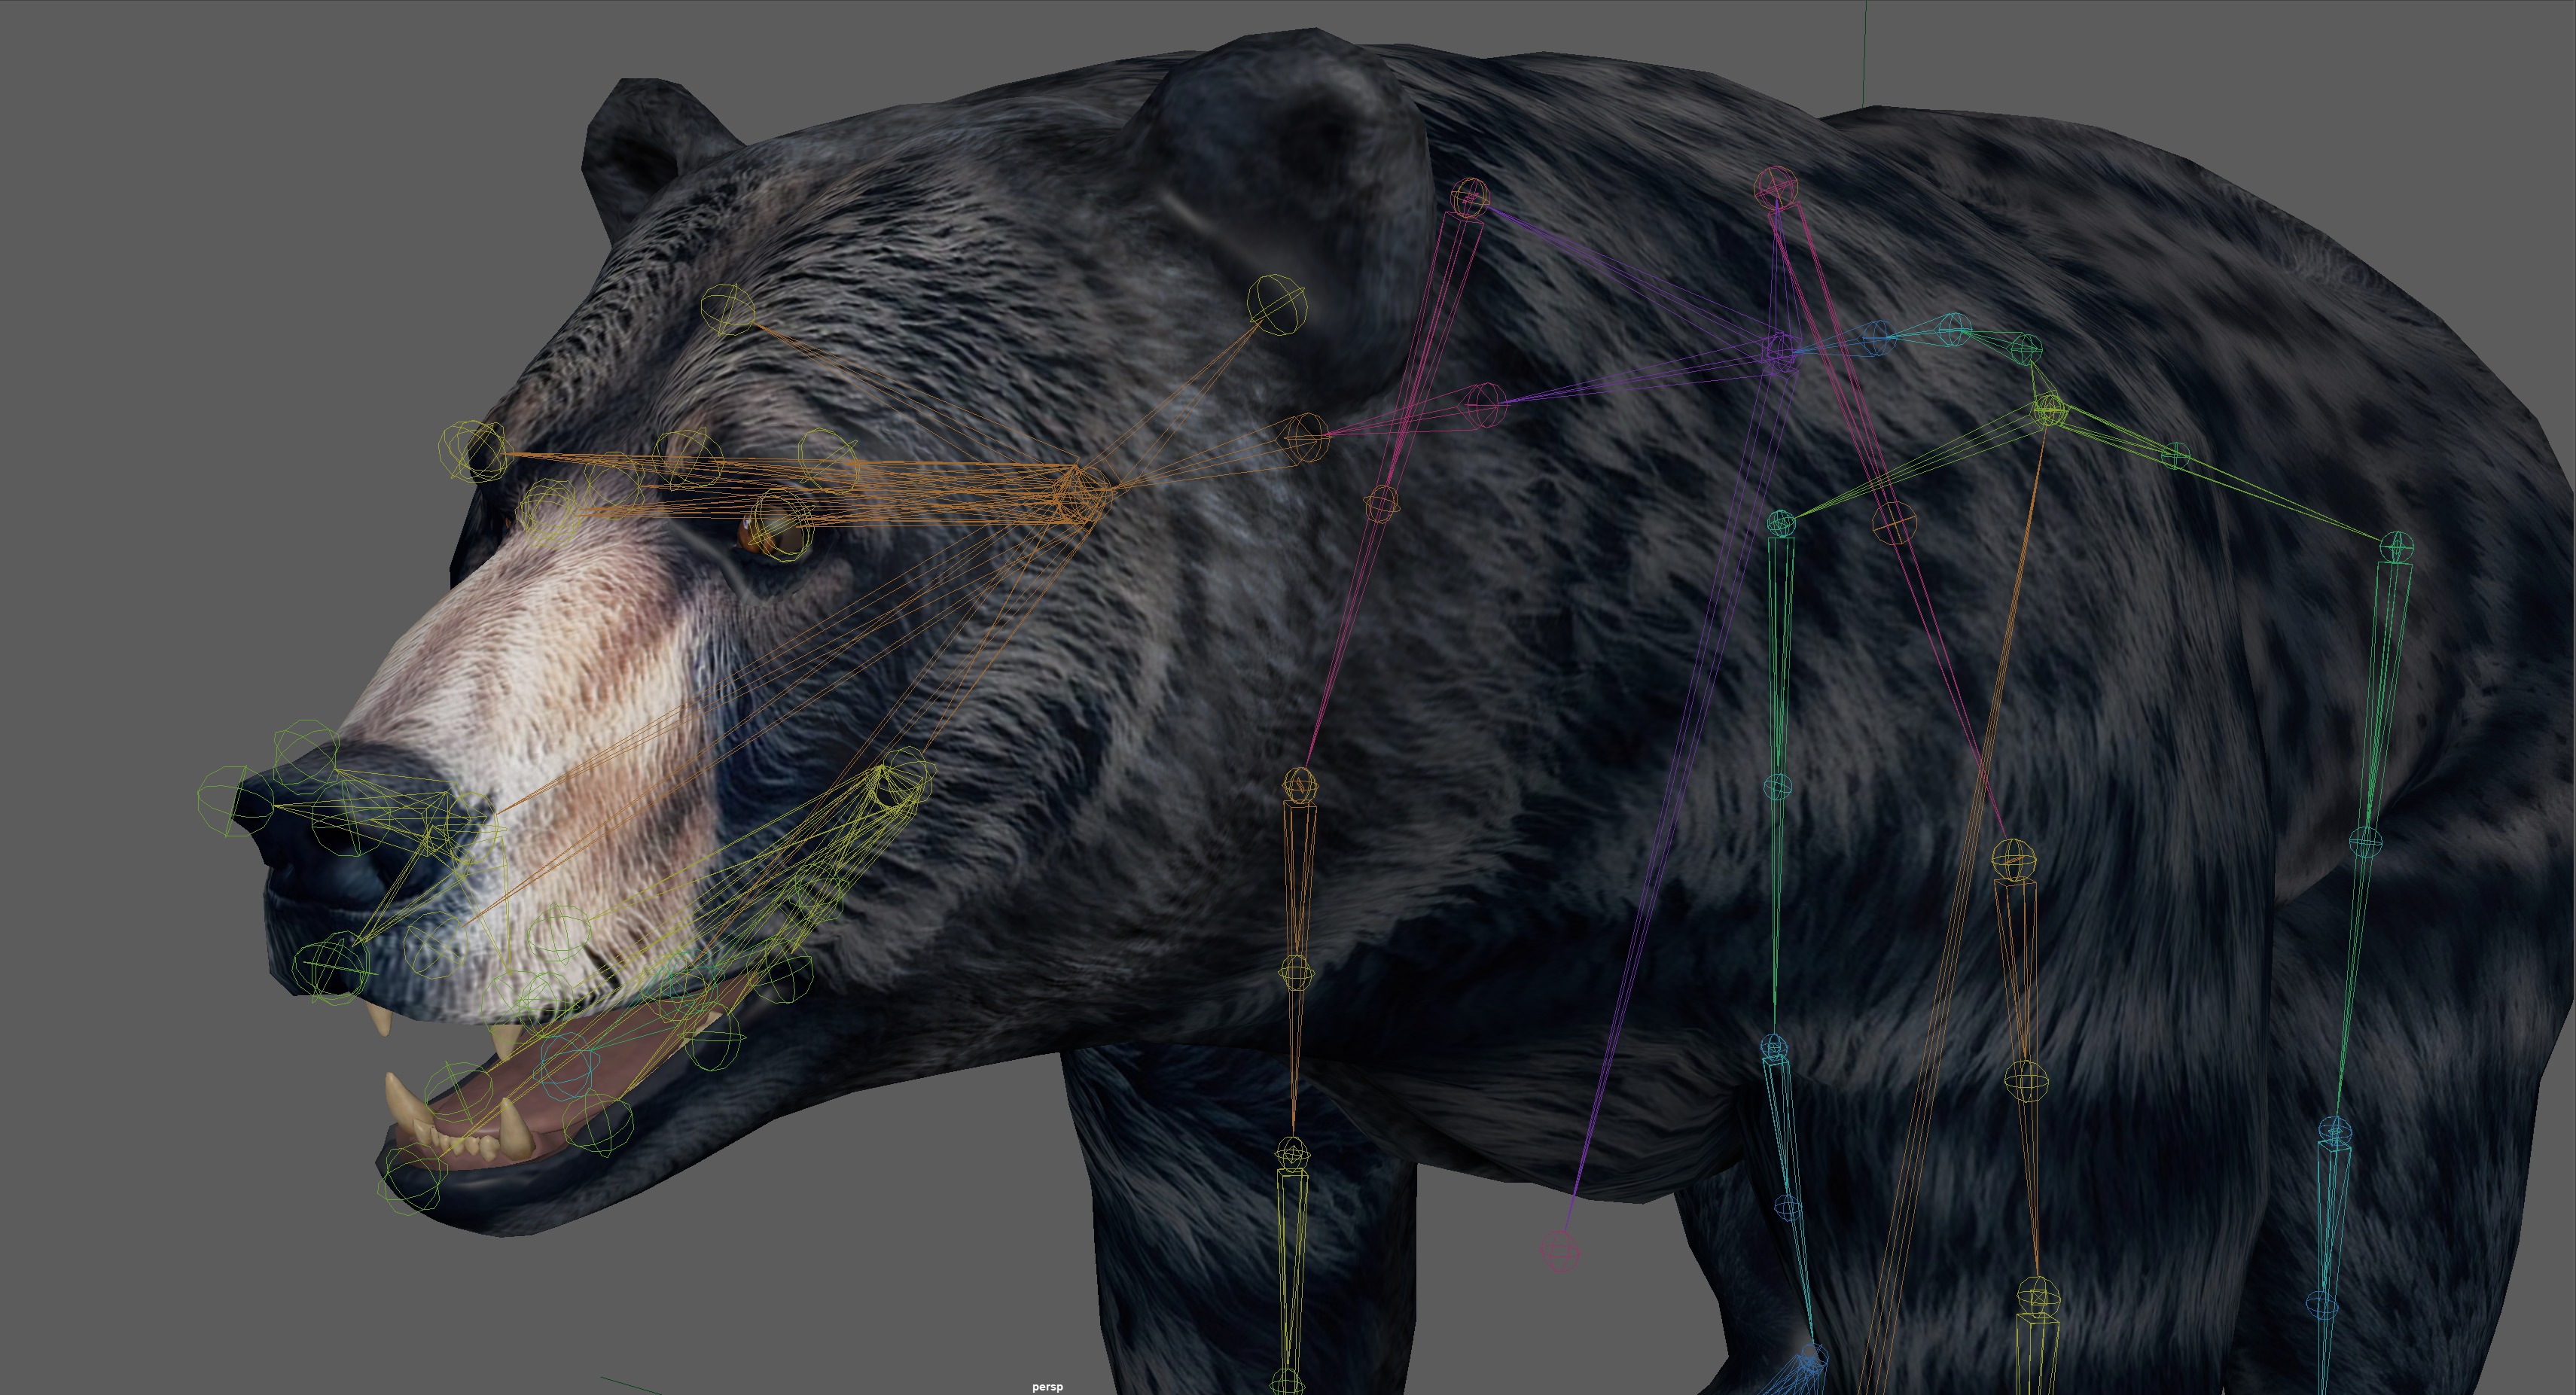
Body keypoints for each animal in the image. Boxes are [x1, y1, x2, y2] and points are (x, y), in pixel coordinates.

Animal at [219, 29, 2568, 1395]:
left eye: (781, 517)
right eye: (500, 480)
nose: (336, 822)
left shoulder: (1984, 845)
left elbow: (2041, 1261)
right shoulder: (1215, 1003)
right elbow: (1237, 1282)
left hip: (2433, 843)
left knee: (2378, 1216)